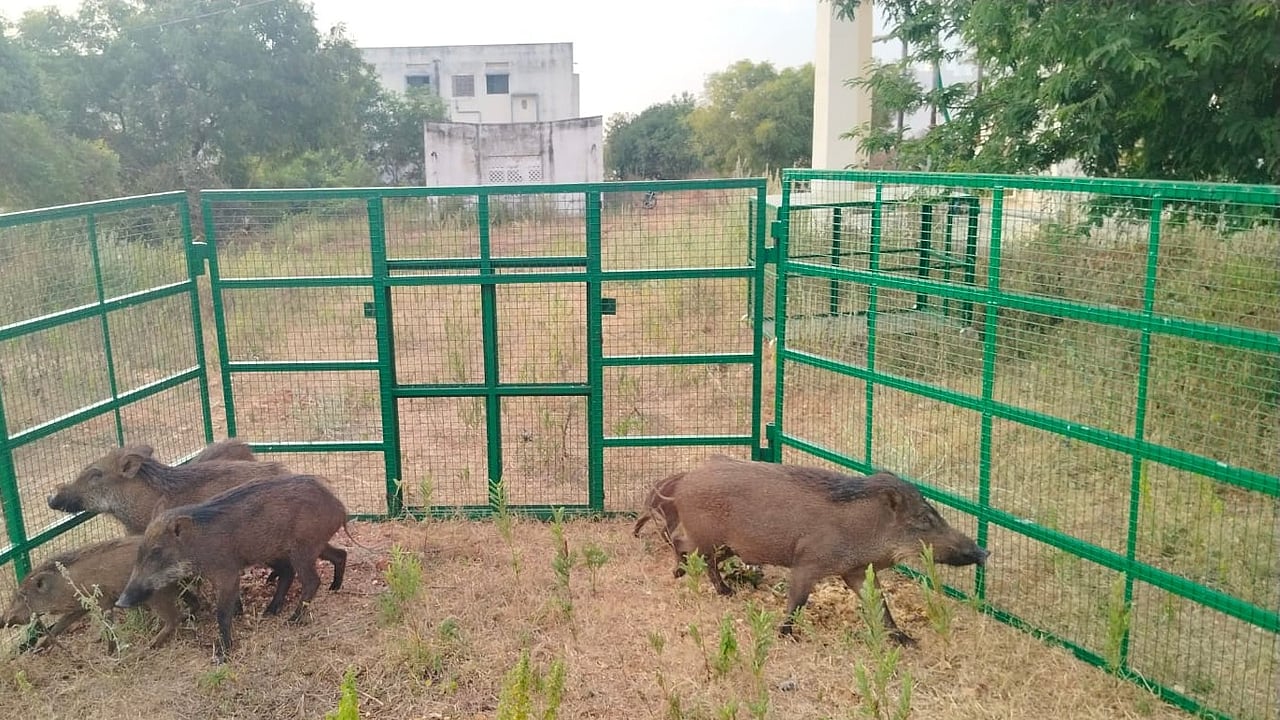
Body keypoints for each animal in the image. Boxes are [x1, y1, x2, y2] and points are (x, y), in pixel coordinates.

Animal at [2, 536, 182, 652]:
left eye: (22, 595)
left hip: (158, 597)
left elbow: (108, 627)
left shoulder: (104, 601)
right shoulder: (78, 608)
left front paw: (110, 653)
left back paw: (149, 646)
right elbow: (59, 625)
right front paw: (38, 649)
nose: (2, 620)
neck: (65, 585)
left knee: (175, 619)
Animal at [116, 474, 349, 662]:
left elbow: (221, 613)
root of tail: (340, 507)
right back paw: (322, 592)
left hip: (302, 550)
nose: (120, 602)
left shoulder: (226, 572)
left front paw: (222, 655)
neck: (196, 544)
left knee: (311, 580)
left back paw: (293, 619)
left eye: (157, 551)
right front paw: (239, 614)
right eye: (140, 550)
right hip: (301, 548)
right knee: (335, 556)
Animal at [665, 455, 990, 645]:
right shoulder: (806, 564)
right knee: (685, 546)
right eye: (923, 519)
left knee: (700, 556)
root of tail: (684, 480)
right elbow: (797, 602)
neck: (866, 530)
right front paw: (785, 635)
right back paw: (695, 580)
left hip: (725, 545)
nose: (984, 552)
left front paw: (907, 641)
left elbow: (880, 604)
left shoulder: (856, 572)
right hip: (707, 538)